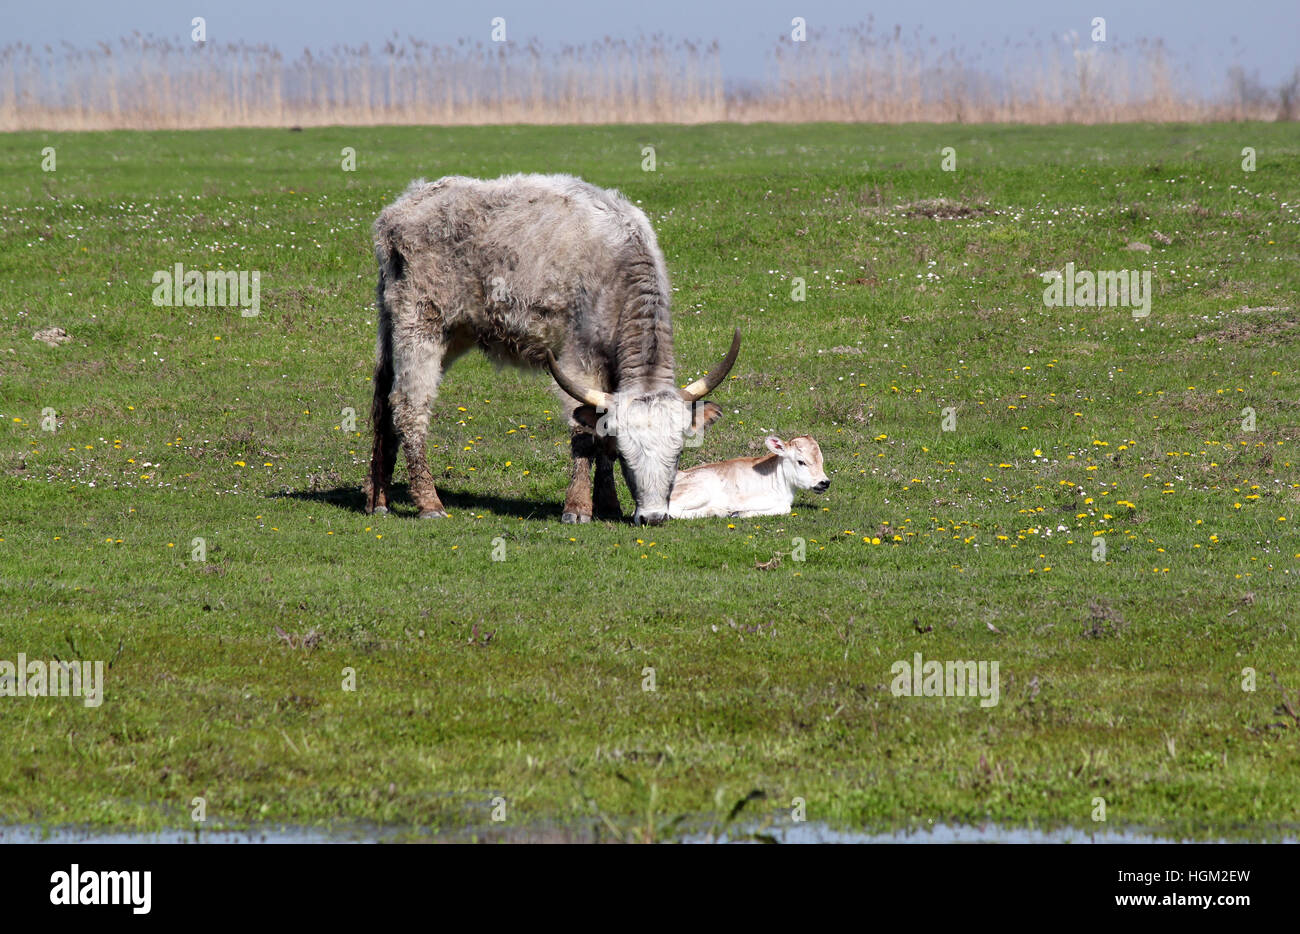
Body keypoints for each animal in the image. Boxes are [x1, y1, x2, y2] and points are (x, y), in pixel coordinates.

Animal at [361, 173, 742, 526]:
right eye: (628, 454)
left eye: (678, 452)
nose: (652, 517)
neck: (616, 272)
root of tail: (400, 209)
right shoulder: (578, 360)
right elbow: (584, 431)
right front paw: (578, 509)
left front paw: (608, 504)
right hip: (420, 325)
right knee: (409, 407)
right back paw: (429, 503)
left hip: (432, 331)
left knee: (385, 400)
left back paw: (377, 499)